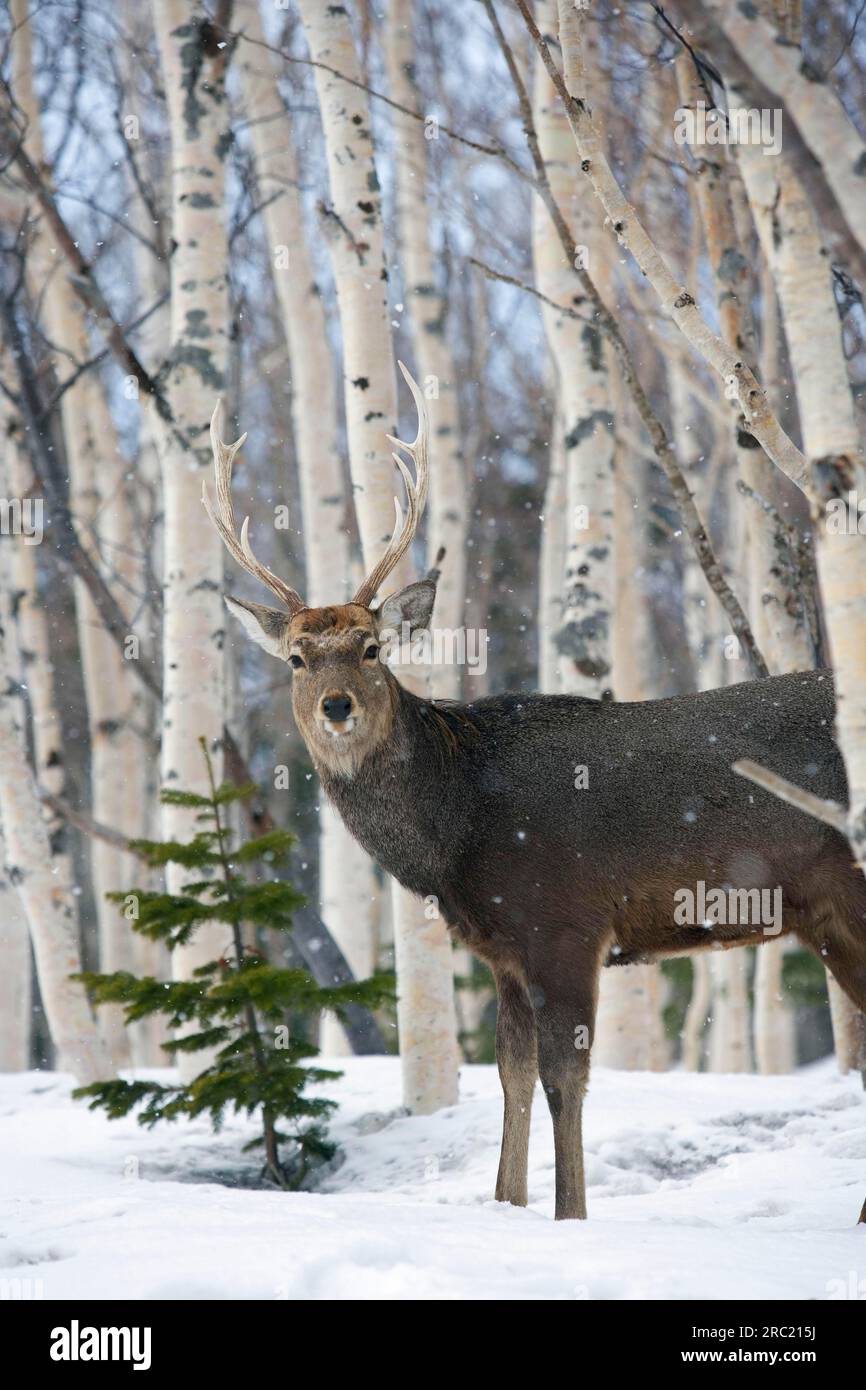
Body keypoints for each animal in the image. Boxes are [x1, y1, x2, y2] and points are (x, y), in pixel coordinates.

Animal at [204, 363, 866, 1222]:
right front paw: (508, 1206)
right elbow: (511, 1077)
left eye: (371, 647)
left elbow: (563, 1079)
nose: (337, 707)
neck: (456, 826)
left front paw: (568, 1215)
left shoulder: (567, 920)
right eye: (294, 657)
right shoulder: (503, 950)